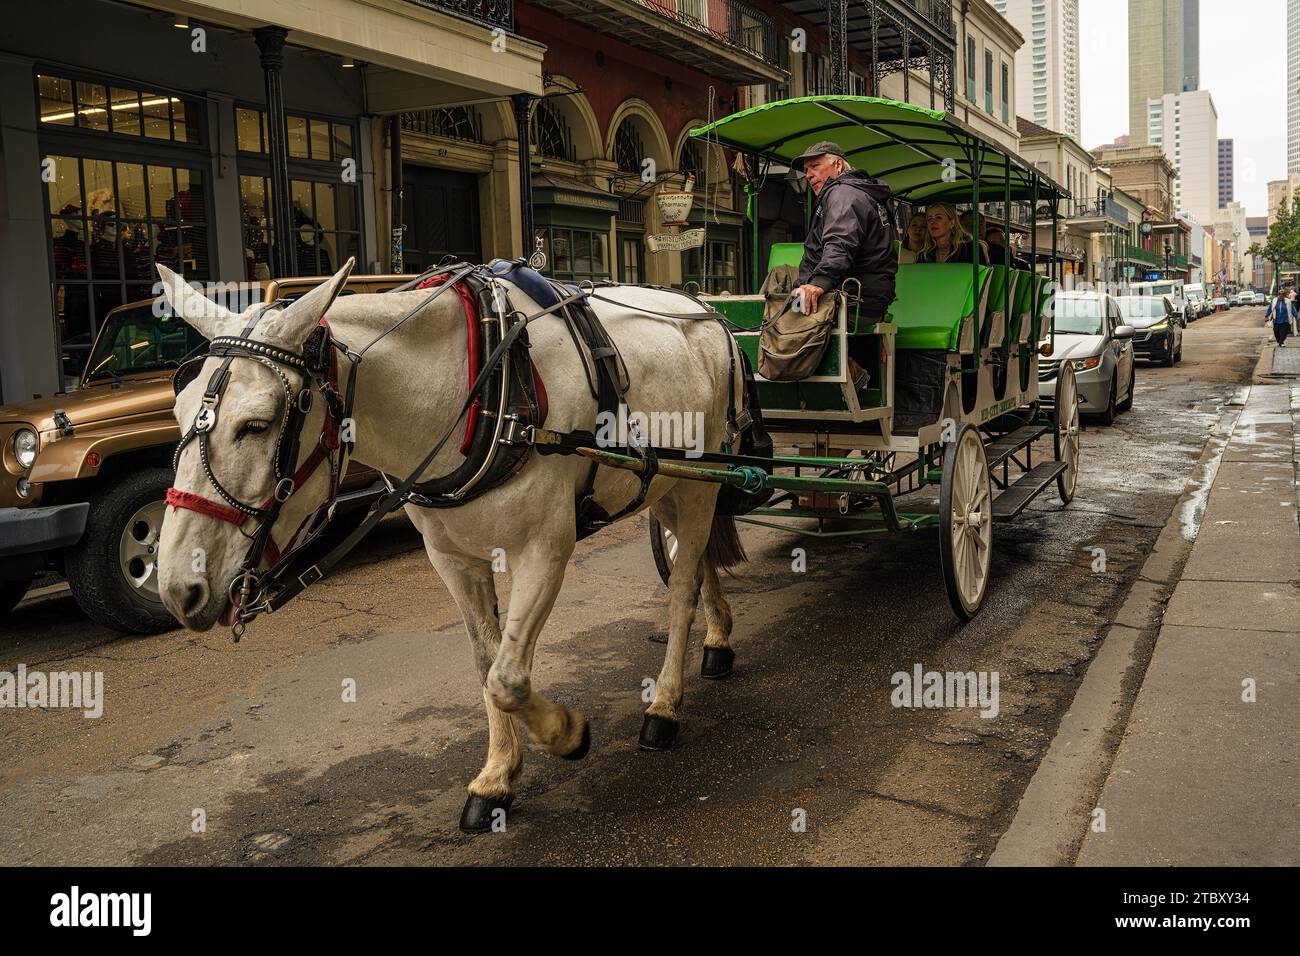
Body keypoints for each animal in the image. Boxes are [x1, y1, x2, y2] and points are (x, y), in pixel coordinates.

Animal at [153, 257, 748, 831]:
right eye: (178, 412)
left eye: (255, 425)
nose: (179, 590)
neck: (471, 390)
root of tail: (703, 308)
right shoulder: (452, 559)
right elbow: (487, 664)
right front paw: (498, 774)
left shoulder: (544, 550)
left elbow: (508, 678)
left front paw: (567, 733)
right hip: (667, 483)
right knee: (695, 560)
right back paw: (718, 637)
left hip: (702, 481)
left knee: (682, 590)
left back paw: (664, 705)